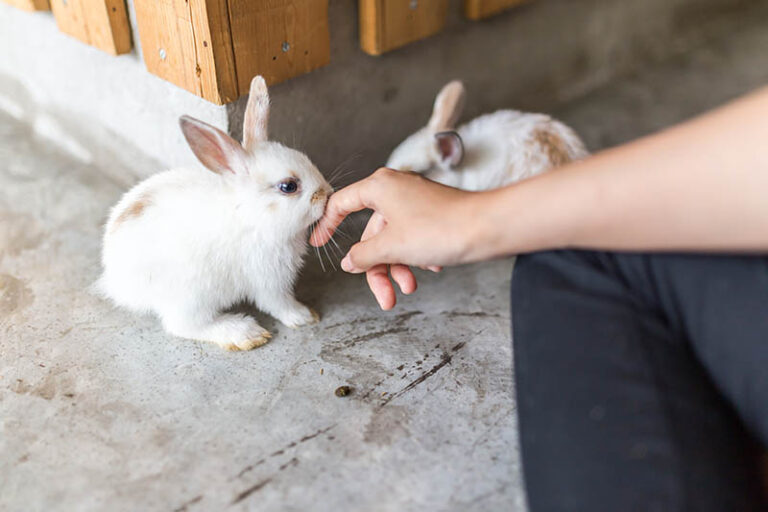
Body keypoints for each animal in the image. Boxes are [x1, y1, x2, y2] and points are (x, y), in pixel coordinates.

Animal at [98, 76, 332, 351]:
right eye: (288, 186)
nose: (327, 193)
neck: (252, 215)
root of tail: (117, 280)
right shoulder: (268, 279)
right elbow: (278, 303)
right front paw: (304, 316)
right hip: (192, 295)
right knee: (183, 325)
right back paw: (244, 333)